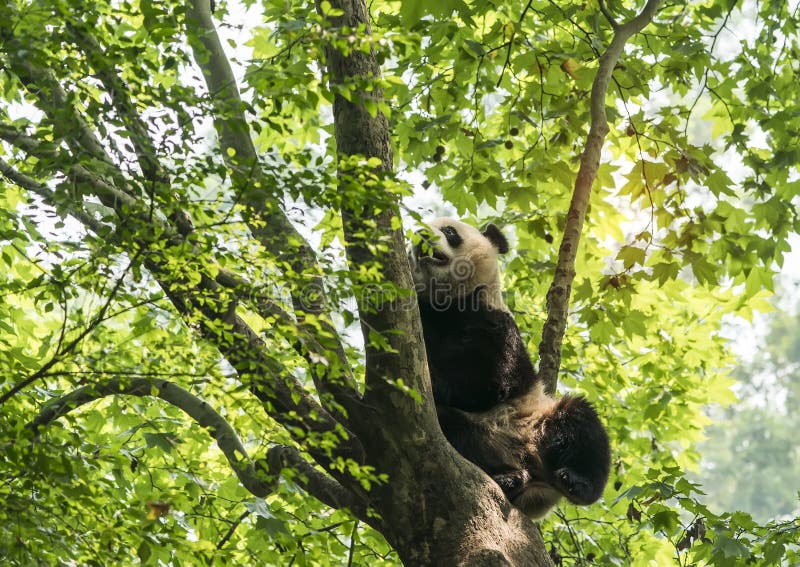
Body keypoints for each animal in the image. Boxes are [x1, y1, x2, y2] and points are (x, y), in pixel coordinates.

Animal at [411, 217, 611, 519]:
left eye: (450, 231)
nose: (420, 234)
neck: (448, 303)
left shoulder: (496, 323)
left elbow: (492, 379)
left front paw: (437, 382)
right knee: (452, 427)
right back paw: (509, 479)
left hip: (536, 422)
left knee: (581, 422)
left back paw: (575, 482)